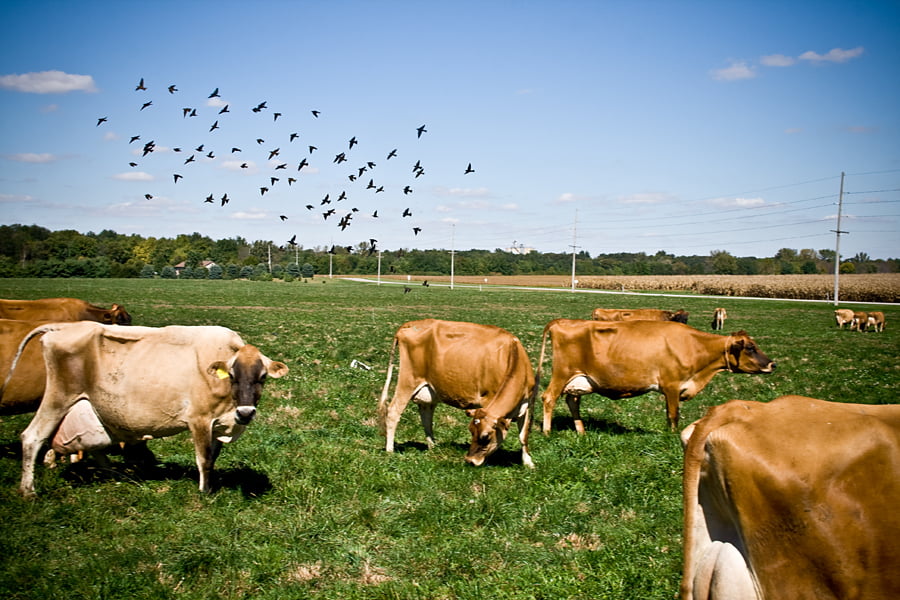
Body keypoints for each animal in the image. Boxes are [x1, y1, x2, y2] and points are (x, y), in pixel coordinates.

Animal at [11, 322, 288, 497]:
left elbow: (213, 457)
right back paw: (28, 491)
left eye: (262, 377)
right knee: (32, 437)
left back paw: (118, 476)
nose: (246, 413)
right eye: (231, 375)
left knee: (97, 448)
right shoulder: (198, 419)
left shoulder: (219, 423)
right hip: (58, 397)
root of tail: (62, 327)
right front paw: (205, 492)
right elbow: (204, 459)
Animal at [377, 319, 536, 468]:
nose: (470, 461)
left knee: (426, 414)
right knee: (393, 412)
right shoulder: (488, 398)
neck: (512, 354)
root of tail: (410, 324)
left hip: (429, 390)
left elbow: (523, 436)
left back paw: (433, 447)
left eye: (485, 436)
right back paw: (390, 450)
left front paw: (528, 463)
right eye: (471, 431)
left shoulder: (526, 404)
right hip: (408, 380)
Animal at [536, 319, 776, 433]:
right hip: (562, 373)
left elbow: (669, 414)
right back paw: (548, 432)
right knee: (549, 398)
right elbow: (673, 415)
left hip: (580, 380)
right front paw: (672, 436)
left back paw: (581, 432)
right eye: (751, 347)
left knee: (572, 401)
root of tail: (562, 321)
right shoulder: (672, 385)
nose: (772, 364)